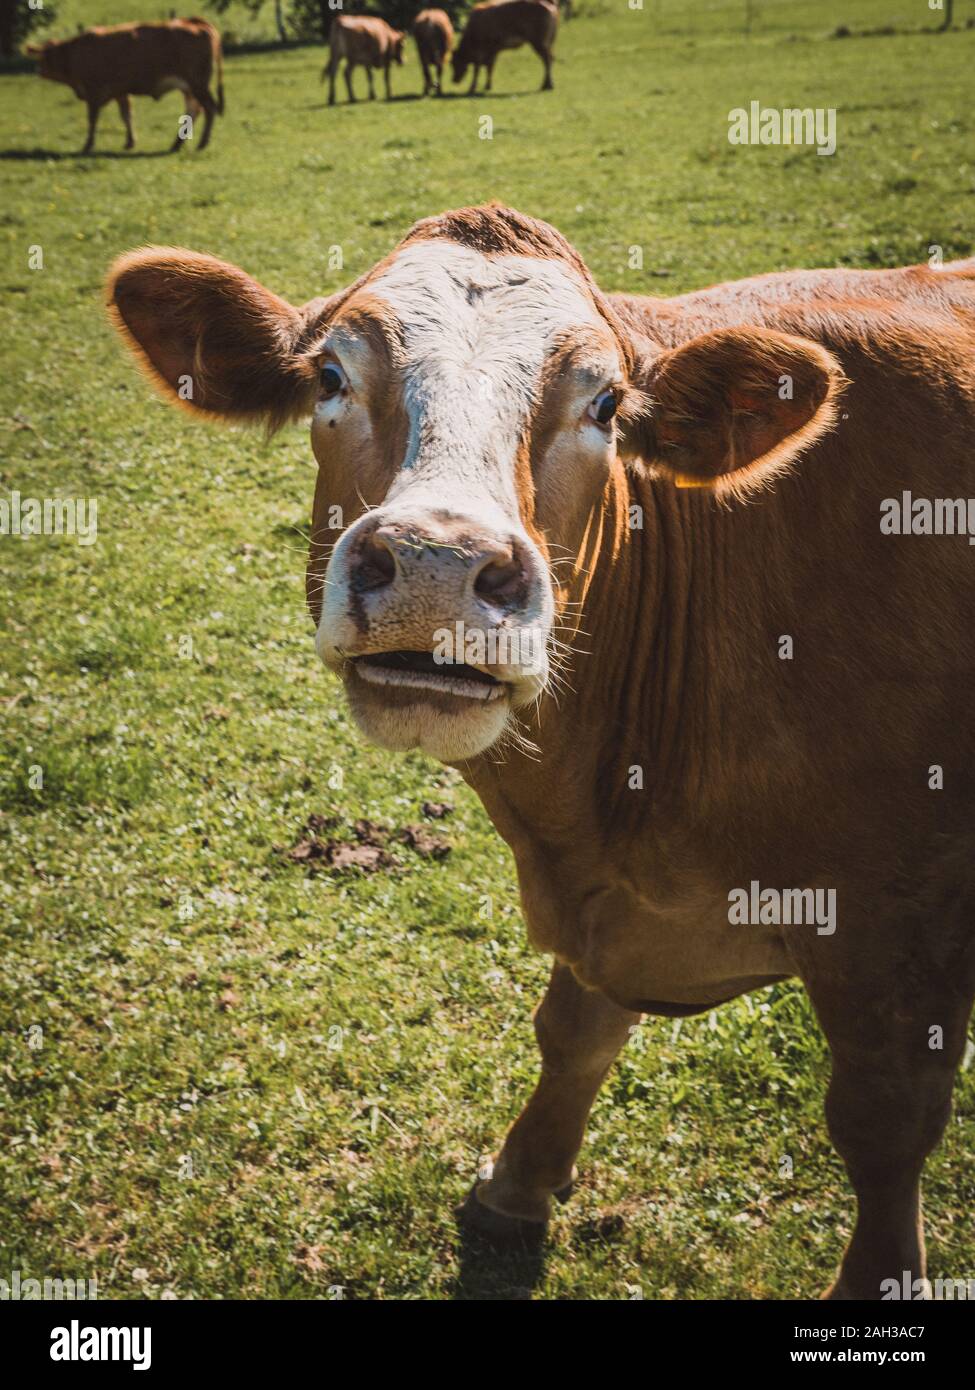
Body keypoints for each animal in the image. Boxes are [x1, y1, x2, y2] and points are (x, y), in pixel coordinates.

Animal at [27, 17, 224, 155]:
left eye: (44, 58)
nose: (37, 70)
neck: (75, 53)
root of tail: (194, 22)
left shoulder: (93, 92)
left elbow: (92, 119)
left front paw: (88, 145)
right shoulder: (120, 92)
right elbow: (126, 116)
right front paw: (130, 142)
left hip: (197, 84)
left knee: (209, 108)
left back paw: (202, 142)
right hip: (189, 88)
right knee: (194, 111)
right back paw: (176, 144)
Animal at [106, 204, 975, 1299]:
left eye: (604, 403)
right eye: (330, 377)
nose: (439, 563)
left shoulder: (905, 922)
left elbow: (883, 1127)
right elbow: (573, 1031)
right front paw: (519, 1182)